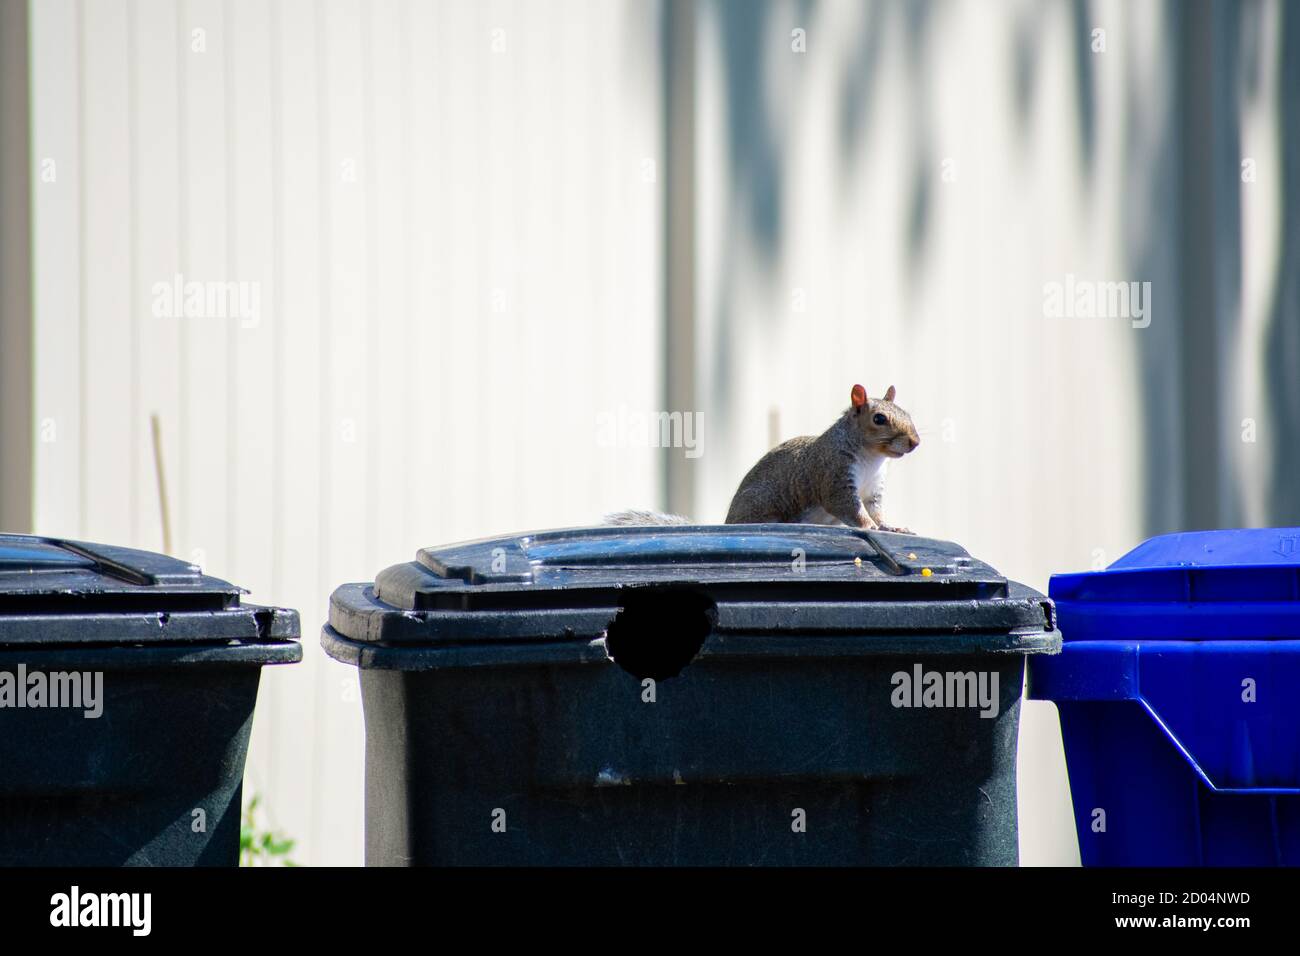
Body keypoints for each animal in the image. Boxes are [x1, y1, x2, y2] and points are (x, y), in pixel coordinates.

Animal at [604, 383, 920, 532]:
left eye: (908, 413)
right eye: (879, 419)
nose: (915, 443)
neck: (871, 458)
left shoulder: (873, 490)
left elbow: (876, 510)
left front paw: (890, 527)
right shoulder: (833, 475)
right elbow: (852, 510)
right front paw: (869, 527)